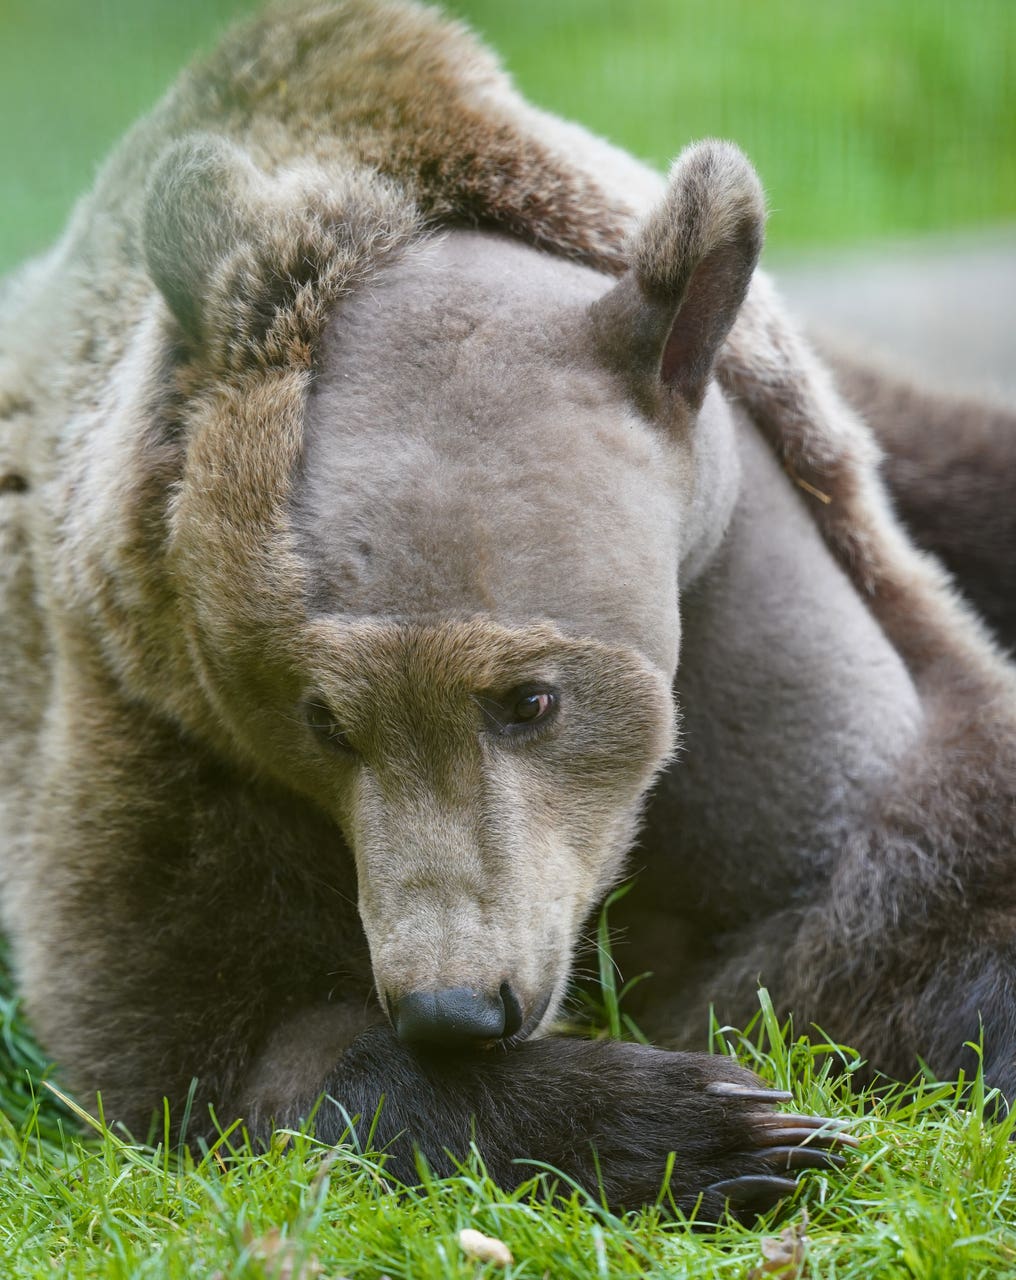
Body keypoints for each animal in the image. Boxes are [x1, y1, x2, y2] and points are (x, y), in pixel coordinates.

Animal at [3, 0, 1013, 1215]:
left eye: (531, 699)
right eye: (323, 718)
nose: (457, 1004)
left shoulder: (751, 621)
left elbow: (868, 920)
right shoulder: (157, 721)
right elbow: (223, 1036)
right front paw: (702, 1124)